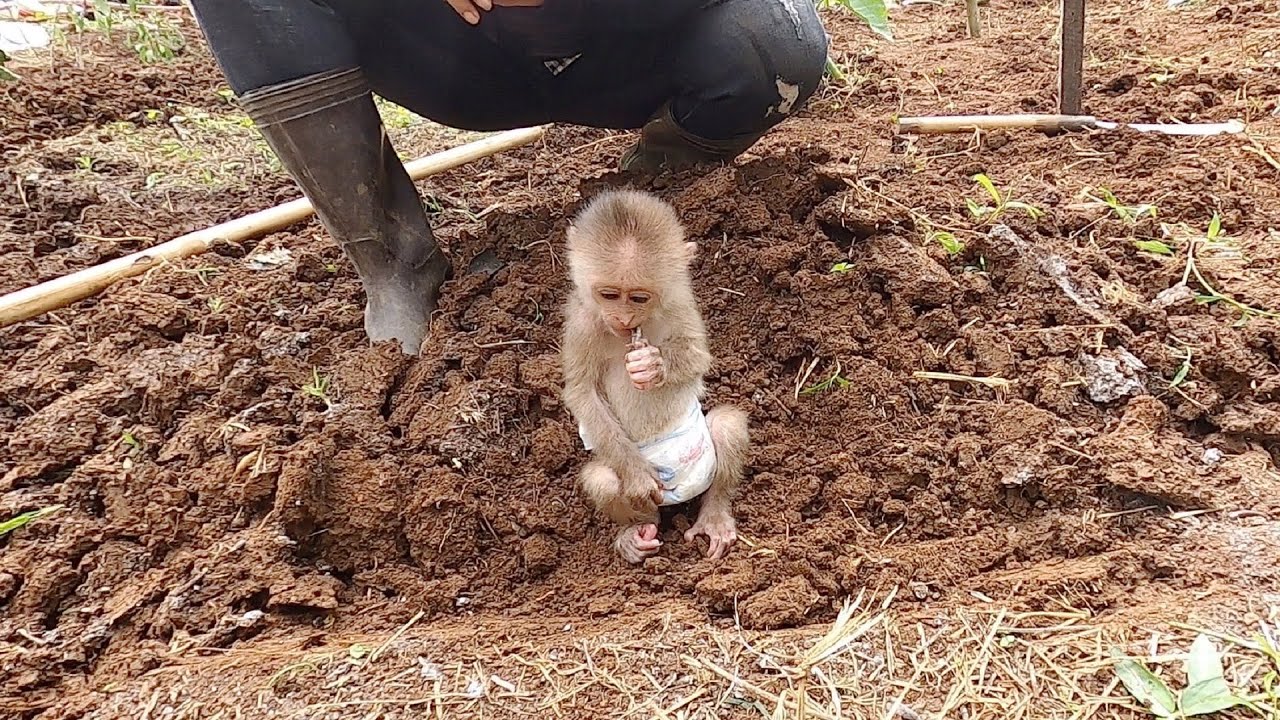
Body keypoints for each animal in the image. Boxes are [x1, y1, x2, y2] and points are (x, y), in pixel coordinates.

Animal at [559, 188, 749, 564]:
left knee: (727, 425)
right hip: (648, 493)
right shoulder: (582, 324)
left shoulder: (681, 304)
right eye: (609, 295)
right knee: (605, 481)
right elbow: (581, 391)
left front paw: (652, 366)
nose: (623, 318)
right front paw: (637, 481)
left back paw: (714, 517)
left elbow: (699, 357)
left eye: (638, 297)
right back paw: (637, 534)